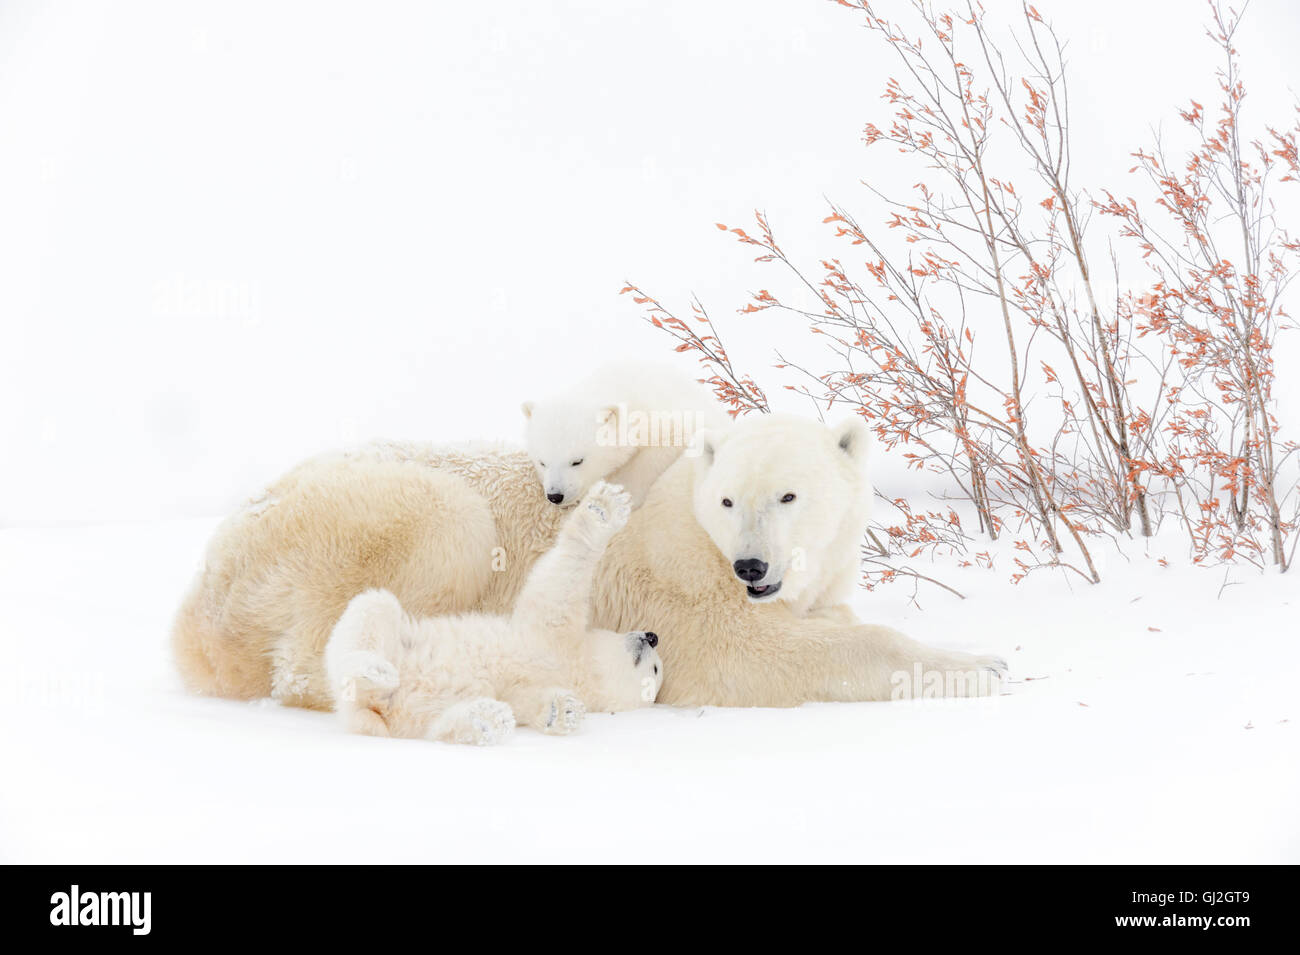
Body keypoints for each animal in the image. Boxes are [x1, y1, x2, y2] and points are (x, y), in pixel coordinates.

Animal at [171, 414, 1006, 711]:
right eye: (727, 500)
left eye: (789, 495)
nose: (749, 566)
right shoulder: (682, 583)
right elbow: (749, 654)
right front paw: (979, 666)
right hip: (348, 515)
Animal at [324, 481, 662, 744]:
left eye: (656, 671)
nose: (653, 635)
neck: (576, 666)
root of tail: (375, 715)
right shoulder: (547, 636)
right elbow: (558, 585)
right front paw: (607, 507)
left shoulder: (535, 678)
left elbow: (531, 701)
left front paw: (563, 711)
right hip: (388, 645)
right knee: (372, 612)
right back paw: (374, 667)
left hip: (413, 716)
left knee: (436, 722)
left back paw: (485, 720)